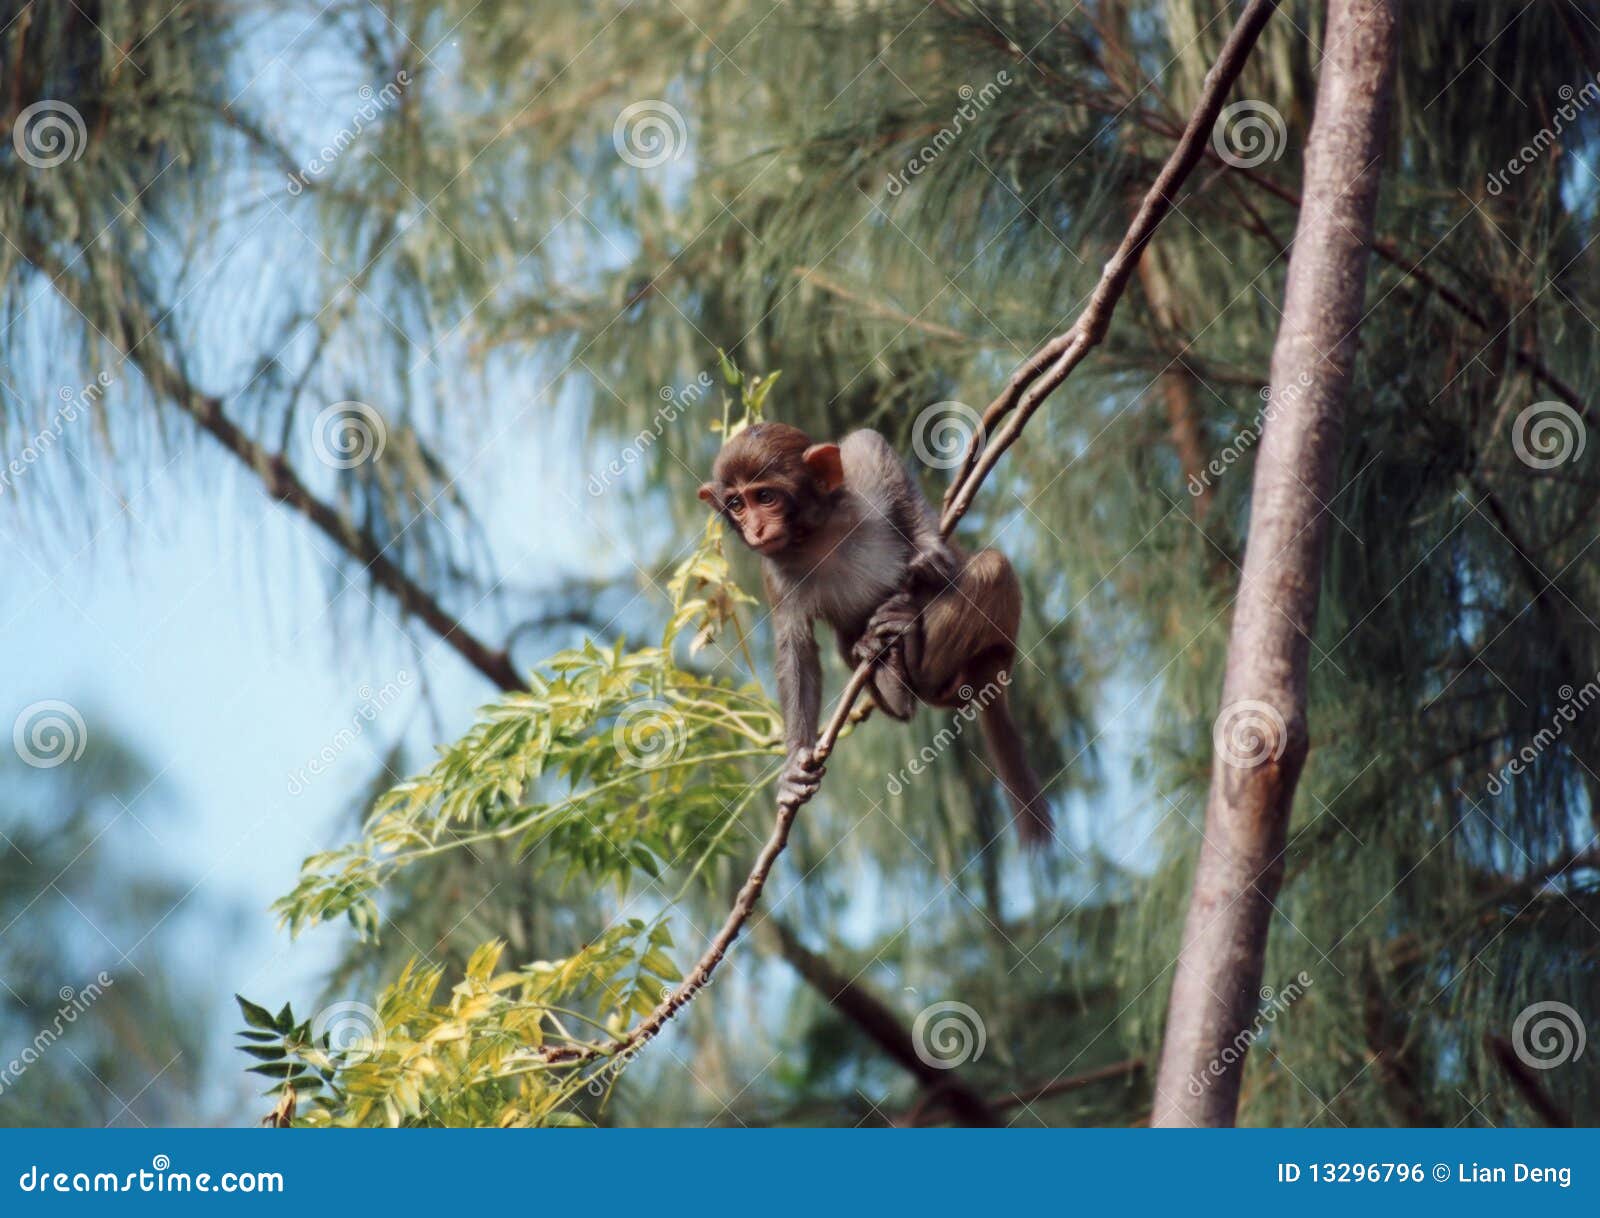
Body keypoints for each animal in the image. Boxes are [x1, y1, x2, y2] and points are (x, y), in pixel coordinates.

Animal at [697, 421, 1051, 845]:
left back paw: (910, 647)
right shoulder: (775, 571)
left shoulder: (863, 494)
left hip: (998, 639)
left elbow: (868, 444)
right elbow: (796, 646)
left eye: (764, 496)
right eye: (737, 504)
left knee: (992, 567)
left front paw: (929, 549)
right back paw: (894, 681)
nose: (755, 528)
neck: (816, 536)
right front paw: (795, 762)